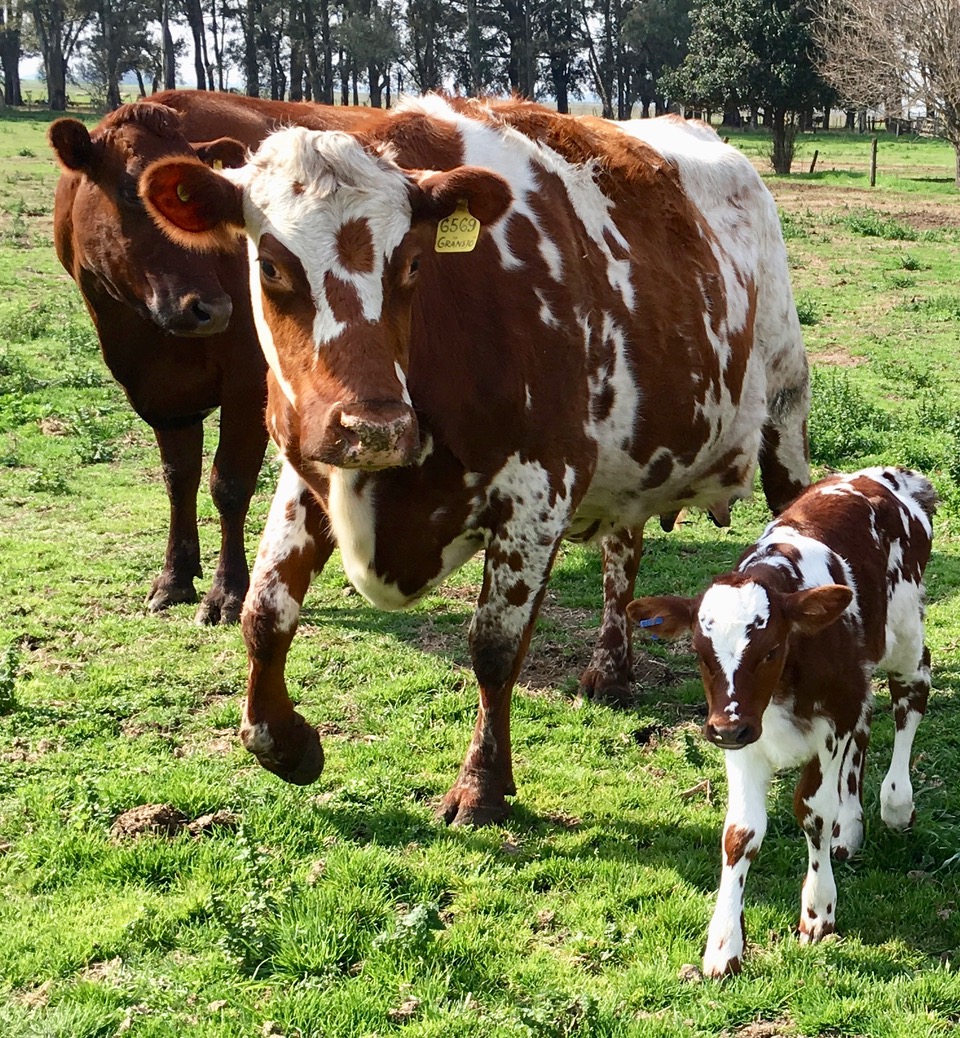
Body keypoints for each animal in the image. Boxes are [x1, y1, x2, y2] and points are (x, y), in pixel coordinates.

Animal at [49, 91, 375, 623]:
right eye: (129, 190)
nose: (213, 308)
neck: (148, 337)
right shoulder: (160, 395)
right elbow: (179, 479)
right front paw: (174, 578)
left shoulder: (249, 385)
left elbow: (229, 484)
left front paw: (226, 591)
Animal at [138, 96, 811, 824]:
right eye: (270, 266)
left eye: (411, 264)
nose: (375, 427)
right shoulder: (309, 469)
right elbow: (265, 612)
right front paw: (286, 745)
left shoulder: (540, 489)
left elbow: (493, 646)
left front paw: (482, 783)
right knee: (622, 555)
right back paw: (610, 667)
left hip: (785, 412)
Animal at [628, 466, 936, 977]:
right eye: (699, 652)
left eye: (770, 650)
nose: (726, 728)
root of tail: (885, 475)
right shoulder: (745, 736)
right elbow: (741, 833)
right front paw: (723, 945)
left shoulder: (831, 721)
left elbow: (813, 810)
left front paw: (818, 910)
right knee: (867, 722)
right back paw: (851, 828)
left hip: (905, 636)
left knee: (909, 698)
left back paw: (896, 801)